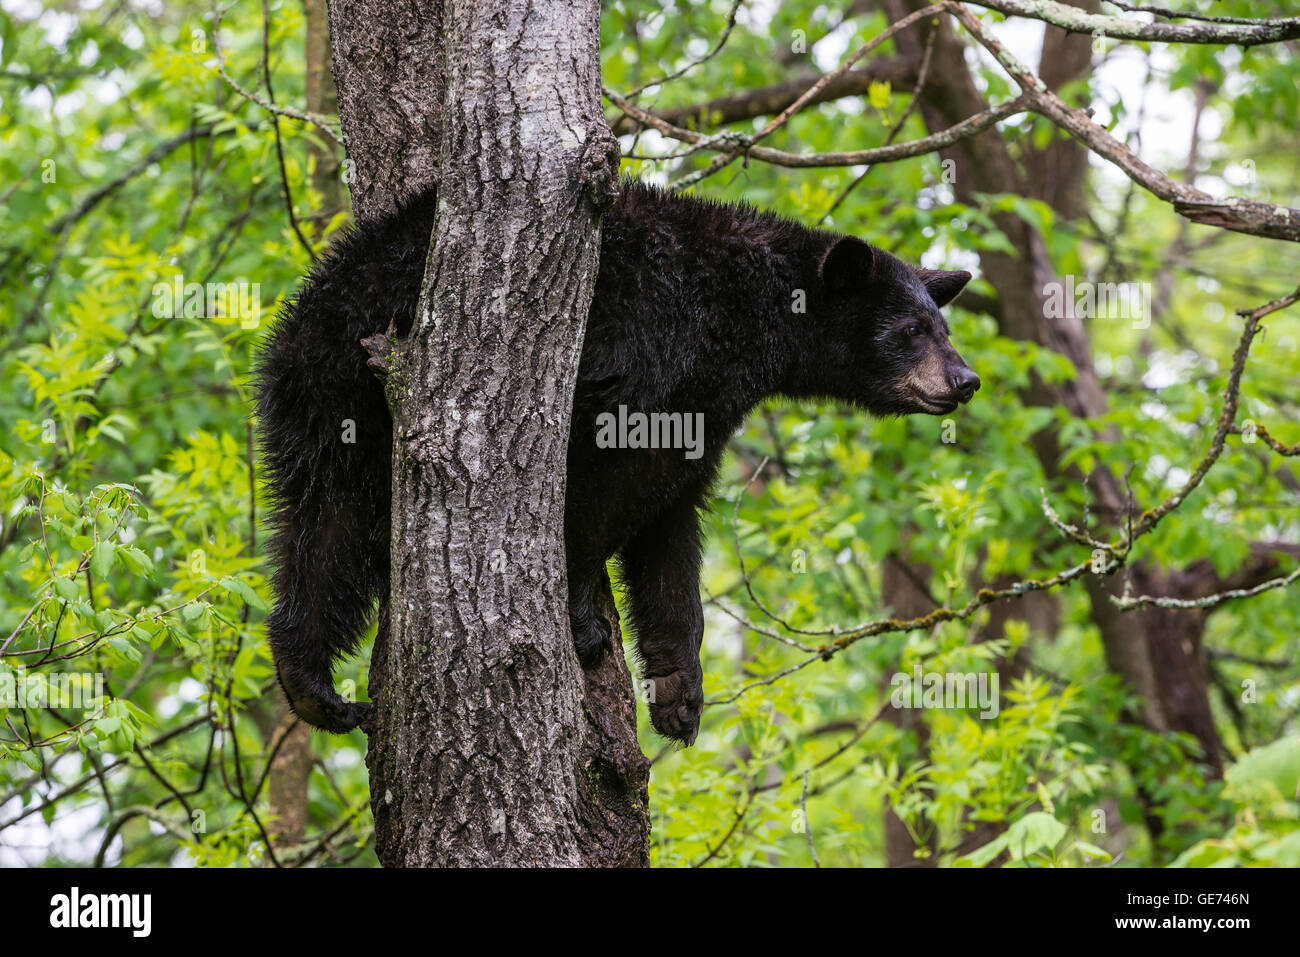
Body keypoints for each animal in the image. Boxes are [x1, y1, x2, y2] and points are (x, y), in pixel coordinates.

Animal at [255, 178, 978, 746]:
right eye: (912, 330)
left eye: (943, 328)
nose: (965, 379)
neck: (753, 311)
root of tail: (323, 307)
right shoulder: (654, 355)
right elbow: (609, 488)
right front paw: (581, 614)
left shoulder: (702, 407)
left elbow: (672, 524)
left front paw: (680, 688)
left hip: (318, 412)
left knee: (324, 530)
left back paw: (310, 681)